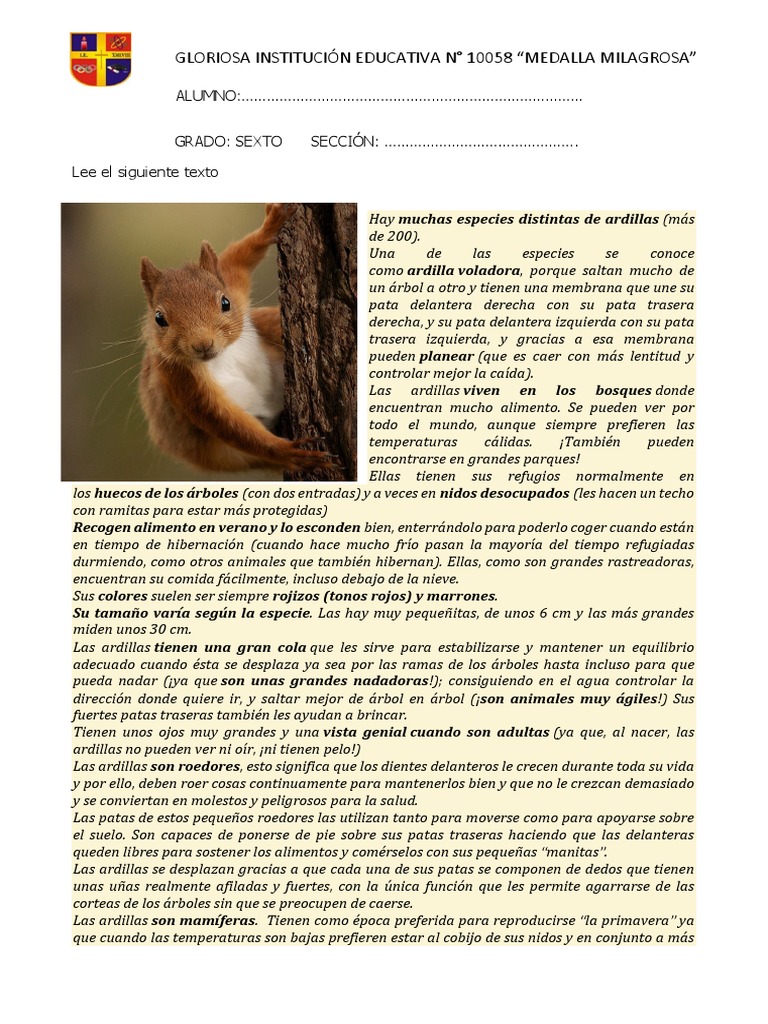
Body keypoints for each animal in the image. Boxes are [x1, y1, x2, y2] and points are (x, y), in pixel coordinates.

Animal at [139, 203, 331, 474]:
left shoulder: (231, 281)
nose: (203, 344)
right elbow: (227, 423)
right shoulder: (180, 380)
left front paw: (271, 223)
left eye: (225, 302)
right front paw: (288, 452)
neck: (222, 356)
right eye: (159, 319)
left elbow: (239, 256)